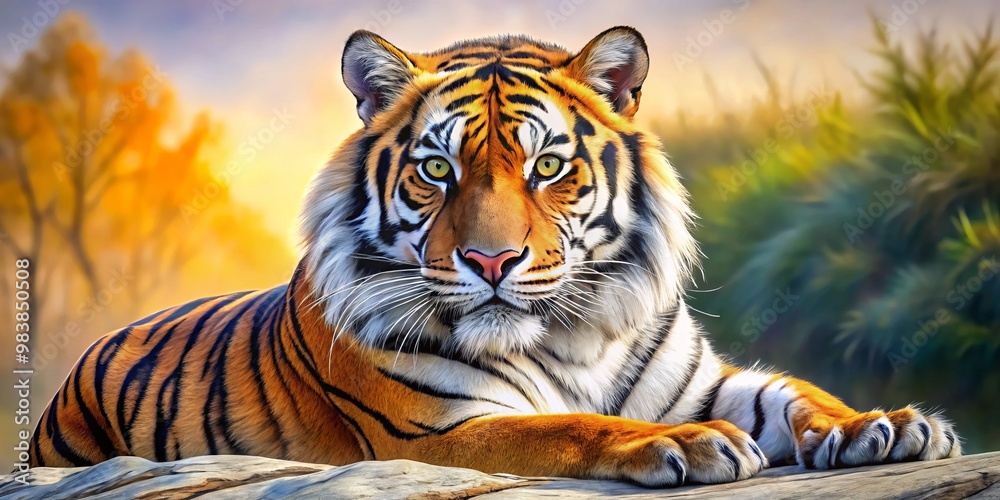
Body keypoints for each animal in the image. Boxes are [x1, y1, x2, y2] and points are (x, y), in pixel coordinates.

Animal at [31, 26, 960, 486]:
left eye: (547, 166)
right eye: (437, 169)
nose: (490, 261)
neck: (575, 336)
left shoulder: (702, 379)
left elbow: (799, 392)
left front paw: (885, 427)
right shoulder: (438, 433)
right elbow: (570, 423)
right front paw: (694, 446)